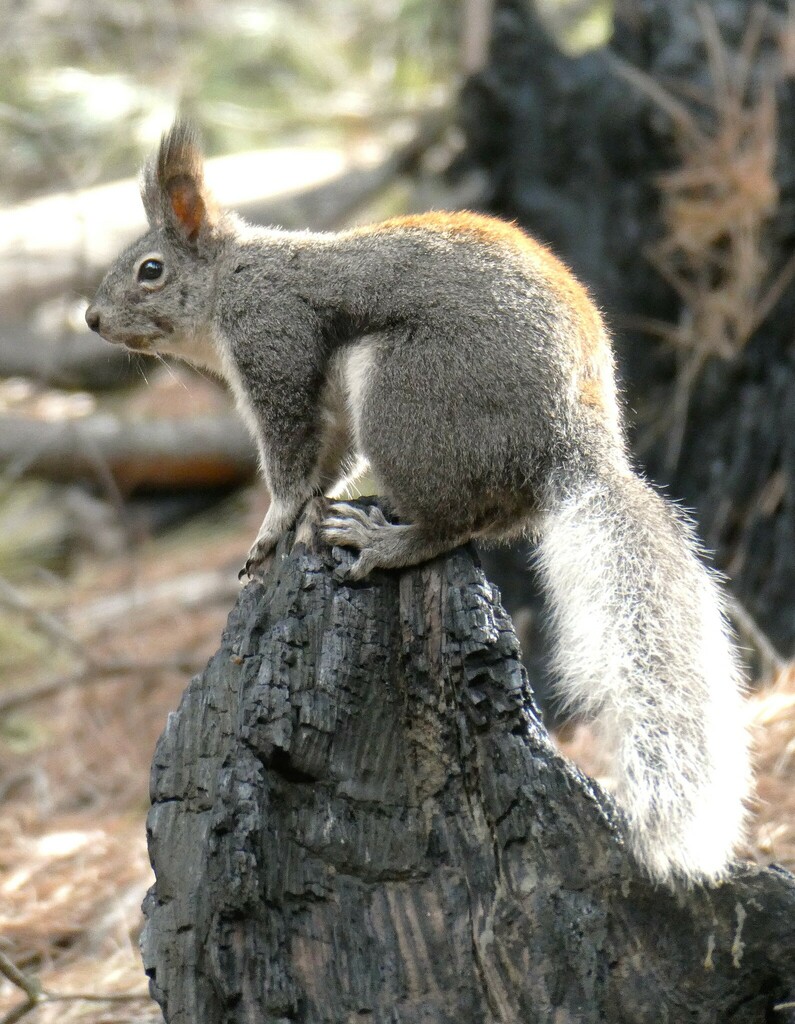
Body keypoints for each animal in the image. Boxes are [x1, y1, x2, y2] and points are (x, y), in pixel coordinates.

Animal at [86, 120, 750, 886]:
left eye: (150, 270)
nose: (91, 317)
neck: (233, 278)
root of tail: (569, 443)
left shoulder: (276, 343)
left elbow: (291, 464)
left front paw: (273, 527)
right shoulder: (322, 402)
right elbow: (327, 463)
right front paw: (307, 514)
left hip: (407, 392)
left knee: (448, 523)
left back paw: (382, 543)